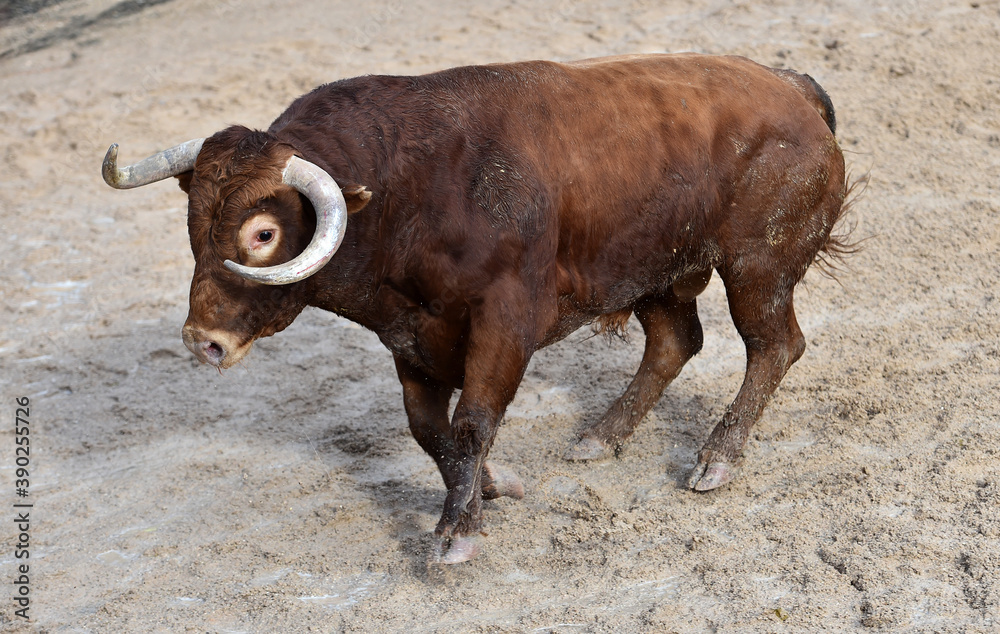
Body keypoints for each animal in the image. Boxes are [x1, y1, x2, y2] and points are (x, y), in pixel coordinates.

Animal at [103, 53, 853, 563]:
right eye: (193, 220)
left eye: (261, 234)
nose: (203, 340)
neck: (406, 194)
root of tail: (789, 85)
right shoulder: (409, 339)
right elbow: (429, 431)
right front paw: (491, 488)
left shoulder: (504, 322)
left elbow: (469, 424)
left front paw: (456, 532)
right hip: (657, 272)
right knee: (674, 341)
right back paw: (599, 436)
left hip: (757, 266)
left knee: (772, 345)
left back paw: (716, 459)